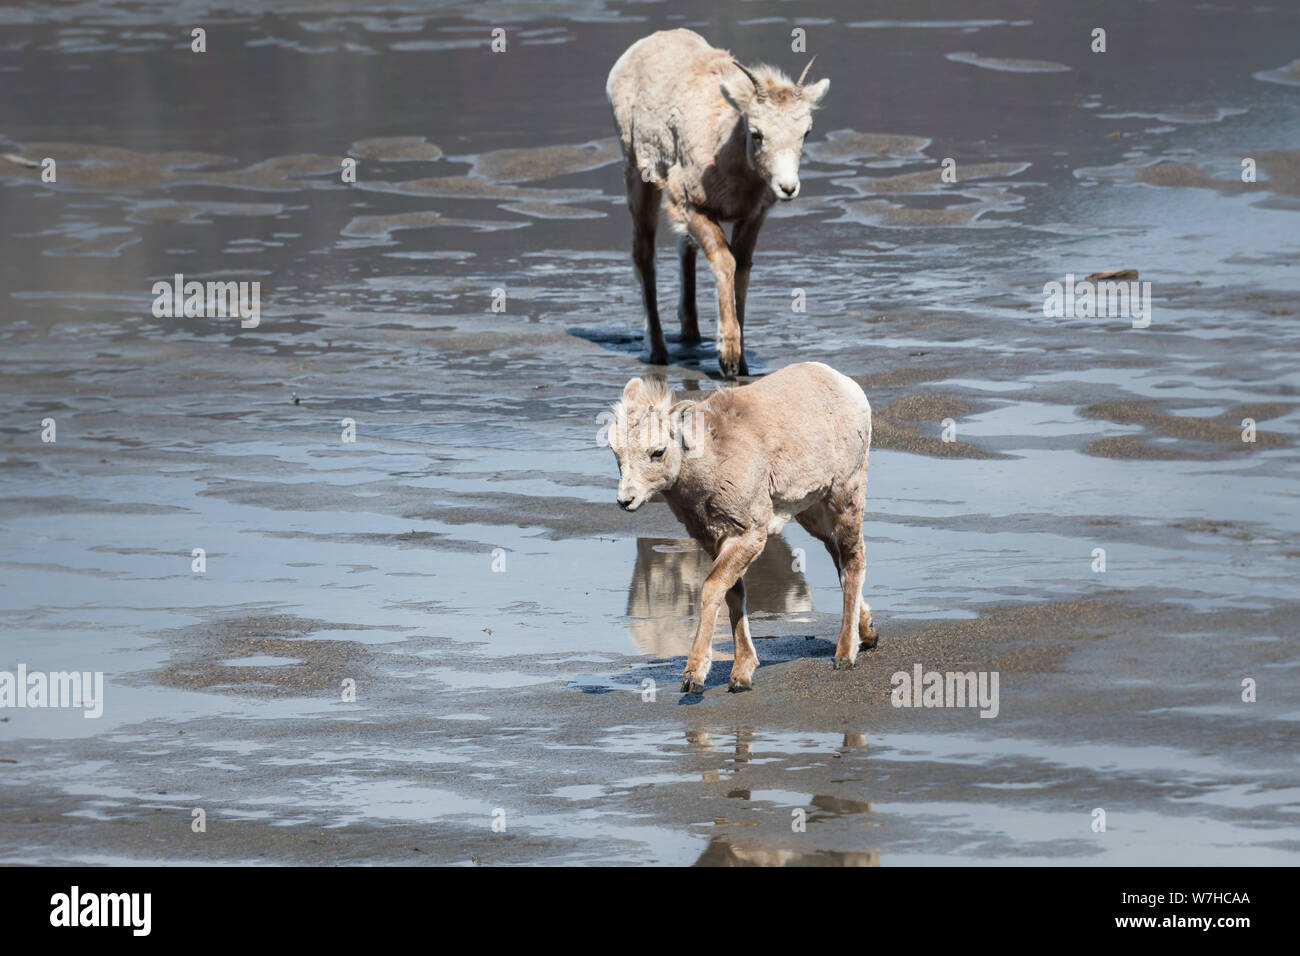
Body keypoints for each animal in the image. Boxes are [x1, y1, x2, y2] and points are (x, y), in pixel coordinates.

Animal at [606, 29, 829, 379]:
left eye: (806, 132)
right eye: (756, 133)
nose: (787, 188)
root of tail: (642, 46)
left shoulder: (752, 217)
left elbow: (742, 269)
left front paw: (743, 363)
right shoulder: (690, 206)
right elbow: (726, 261)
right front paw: (728, 358)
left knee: (684, 249)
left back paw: (691, 334)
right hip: (638, 177)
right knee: (643, 254)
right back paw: (658, 350)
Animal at [609, 361, 876, 693]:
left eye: (657, 451)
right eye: (616, 453)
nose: (626, 500)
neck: (713, 463)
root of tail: (843, 382)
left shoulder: (749, 535)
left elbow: (713, 588)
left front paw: (694, 676)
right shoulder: (715, 540)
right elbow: (734, 594)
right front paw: (742, 673)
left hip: (844, 493)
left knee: (853, 561)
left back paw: (845, 655)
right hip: (813, 513)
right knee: (838, 556)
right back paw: (869, 634)